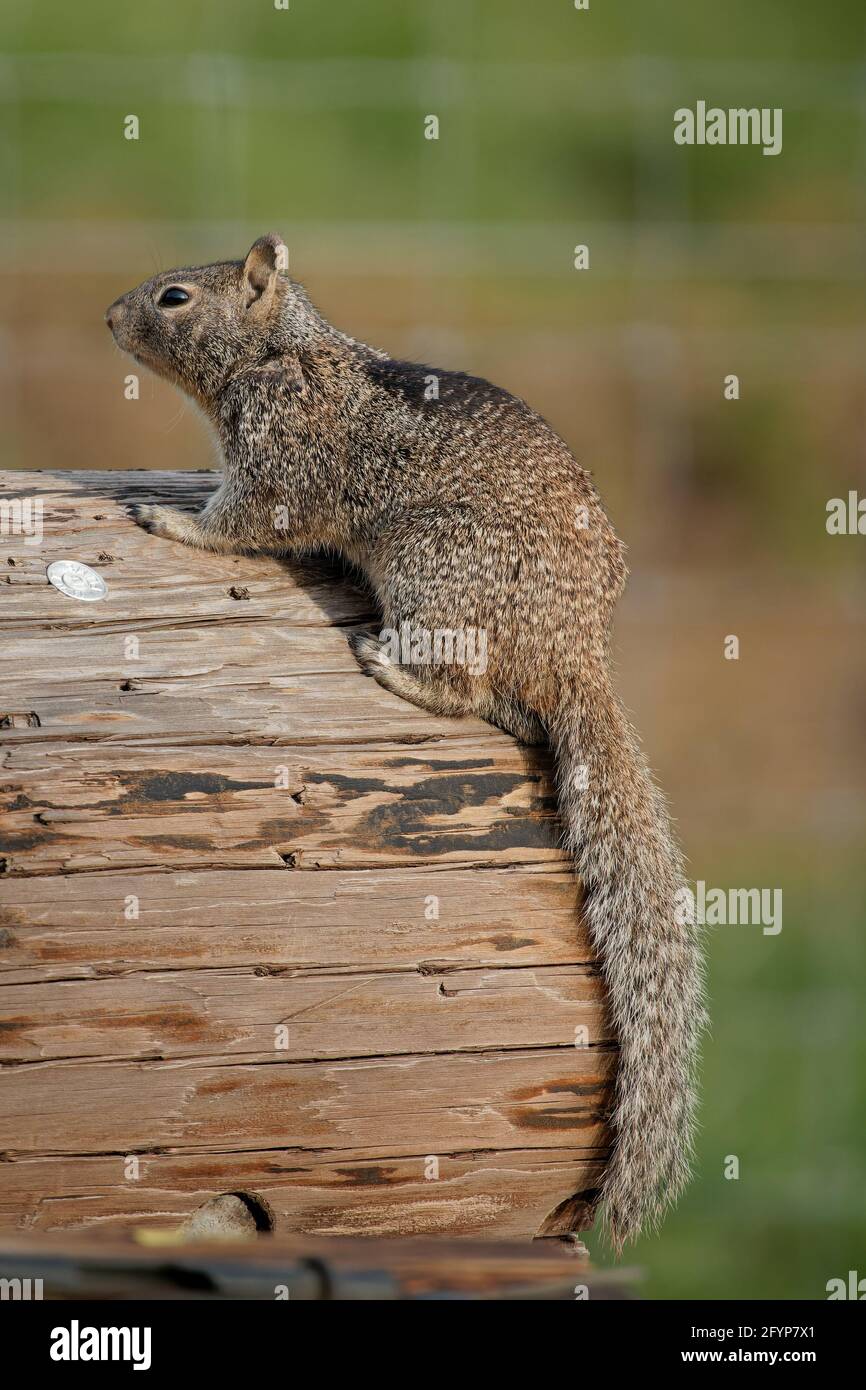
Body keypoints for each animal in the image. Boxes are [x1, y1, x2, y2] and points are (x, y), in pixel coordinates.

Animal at [106, 234, 705, 1247]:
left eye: (174, 297)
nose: (111, 316)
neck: (282, 352)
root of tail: (575, 651)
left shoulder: (281, 464)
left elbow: (241, 521)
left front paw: (170, 519)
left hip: (434, 575)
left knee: (462, 690)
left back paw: (390, 666)